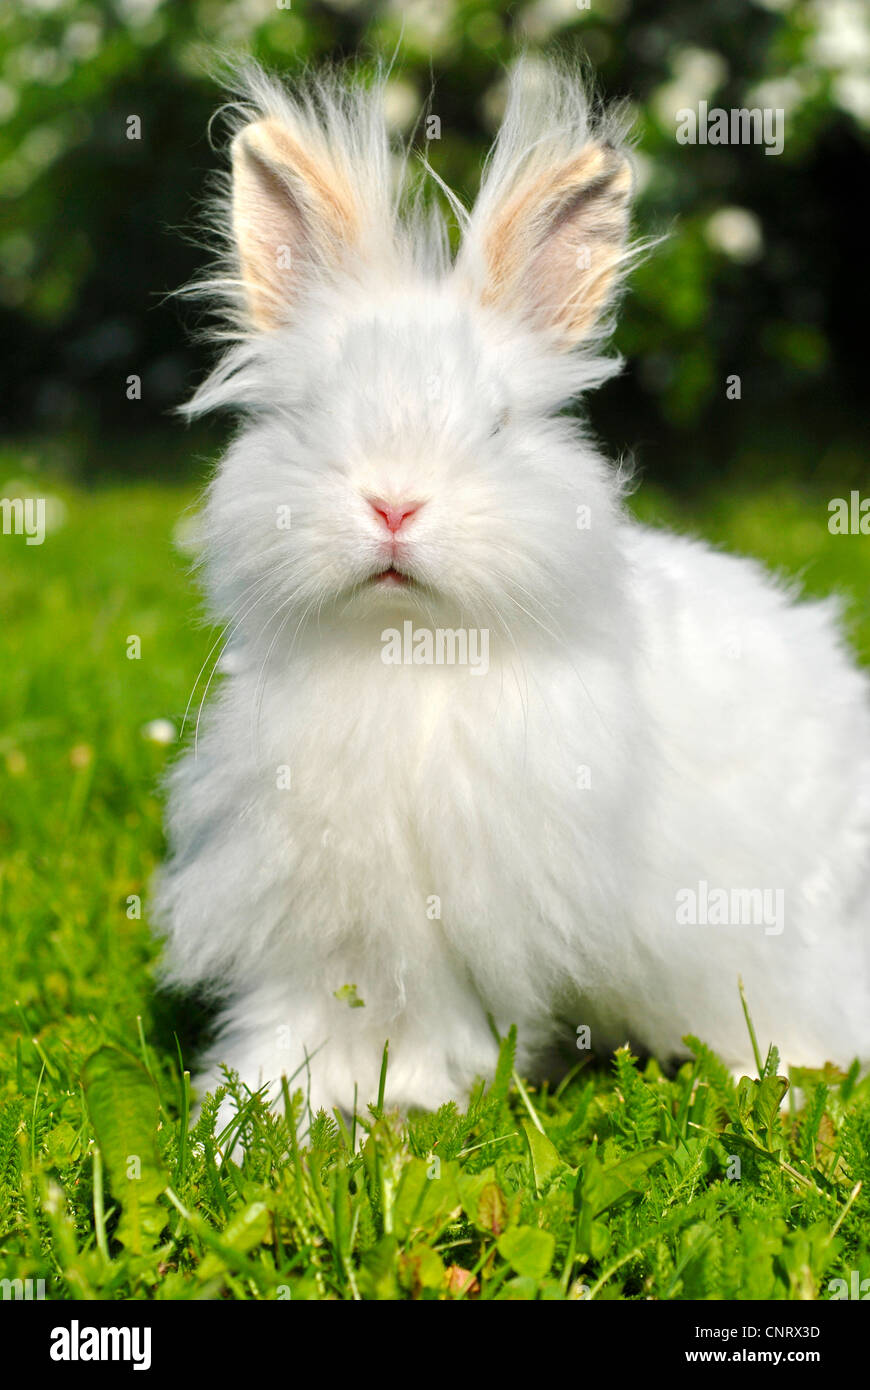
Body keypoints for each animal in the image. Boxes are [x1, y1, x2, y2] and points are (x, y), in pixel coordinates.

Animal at [154, 57, 870, 1145]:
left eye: (495, 425)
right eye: (314, 414)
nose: (394, 502)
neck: (406, 653)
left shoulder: (465, 918)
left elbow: (437, 1024)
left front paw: (406, 1099)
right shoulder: (324, 914)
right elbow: (303, 1015)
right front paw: (254, 1110)